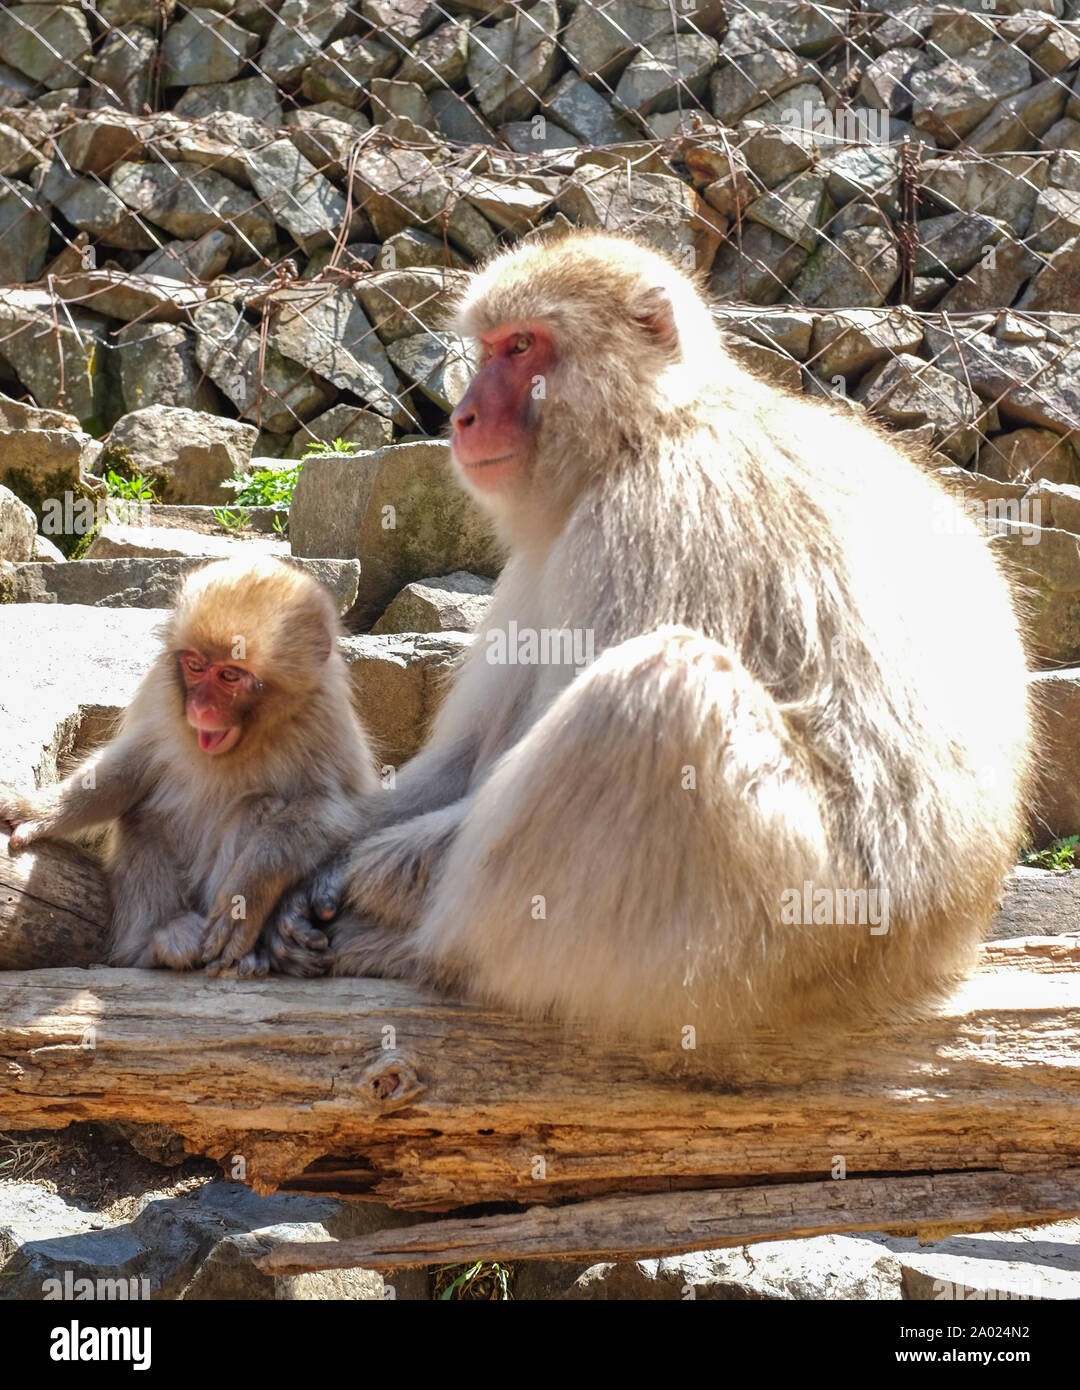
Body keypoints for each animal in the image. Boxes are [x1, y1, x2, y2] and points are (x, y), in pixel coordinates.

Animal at [0, 556, 377, 978]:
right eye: (195, 666)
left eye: (229, 675)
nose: (199, 708)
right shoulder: (160, 696)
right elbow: (128, 771)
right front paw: (36, 811)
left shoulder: (326, 718)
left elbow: (340, 810)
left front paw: (249, 889)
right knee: (144, 819)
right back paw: (161, 940)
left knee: (260, 805)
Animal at [271, 229, 1031, 1040]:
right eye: (488, 348)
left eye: (522, 346)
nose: (463, 417)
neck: (643, 429)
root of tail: (937, 948)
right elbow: (469, 755)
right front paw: (310, 851)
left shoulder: (655, 517)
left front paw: (339, 878)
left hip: (801, 926)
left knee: (662, 690)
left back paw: (427, 949)